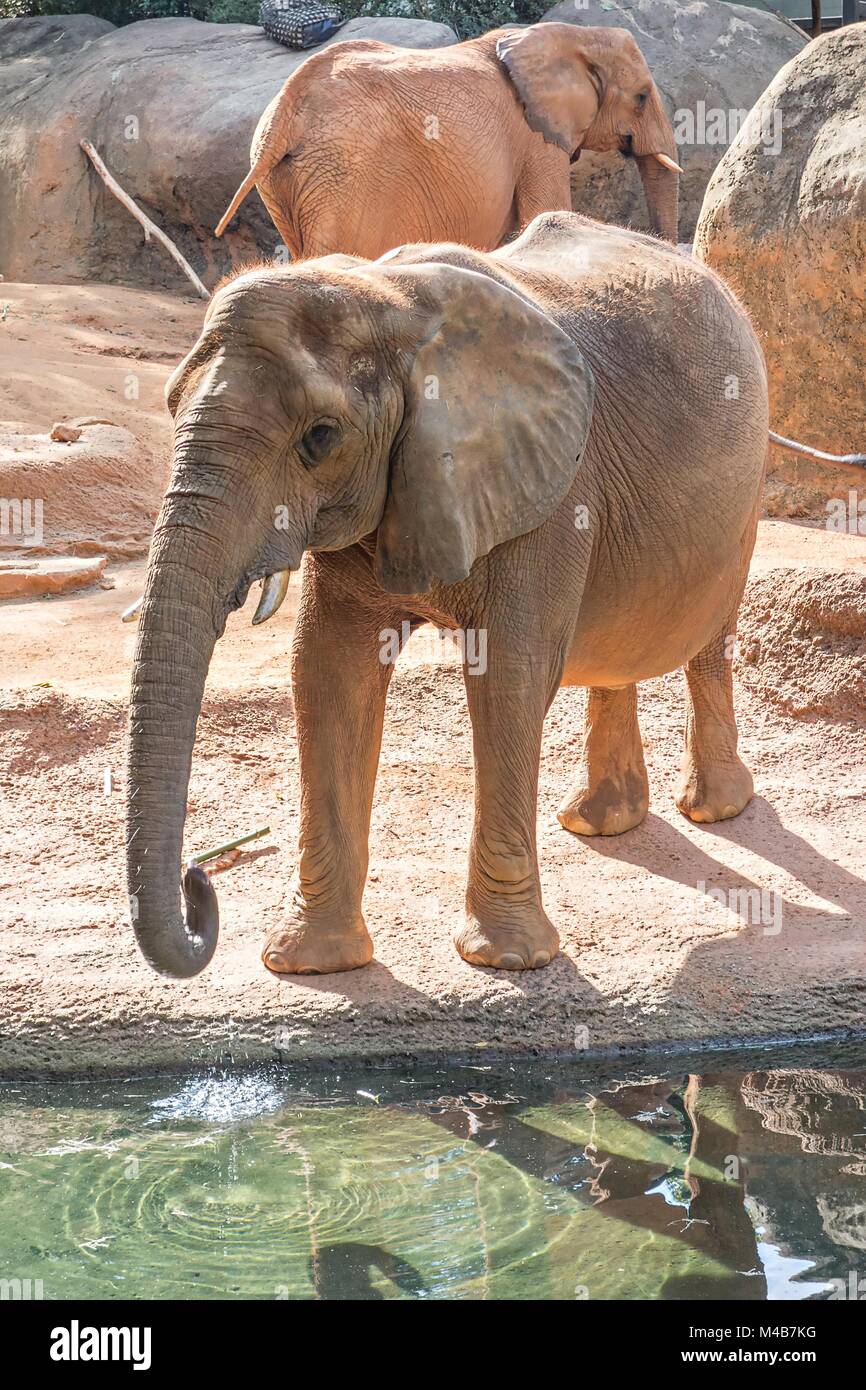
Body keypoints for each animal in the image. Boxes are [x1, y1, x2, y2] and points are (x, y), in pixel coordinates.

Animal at [126, 209, 766, 981]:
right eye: (169, 405)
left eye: (320, 437)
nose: (200, 881)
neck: (386, 296)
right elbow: (329, 672)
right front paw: (313, 963)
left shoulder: (551, 497)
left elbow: (509, 679)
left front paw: (508, 961)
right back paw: (599, 821)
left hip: (743, 493)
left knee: (710, 638)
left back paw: (712, 810)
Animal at [214, 24, 681, 256]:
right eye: (641, 98)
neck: (575, 33)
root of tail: (285, 112)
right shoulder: (536, 139)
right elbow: (547, 209)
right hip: (342, 175)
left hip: (285, 179)